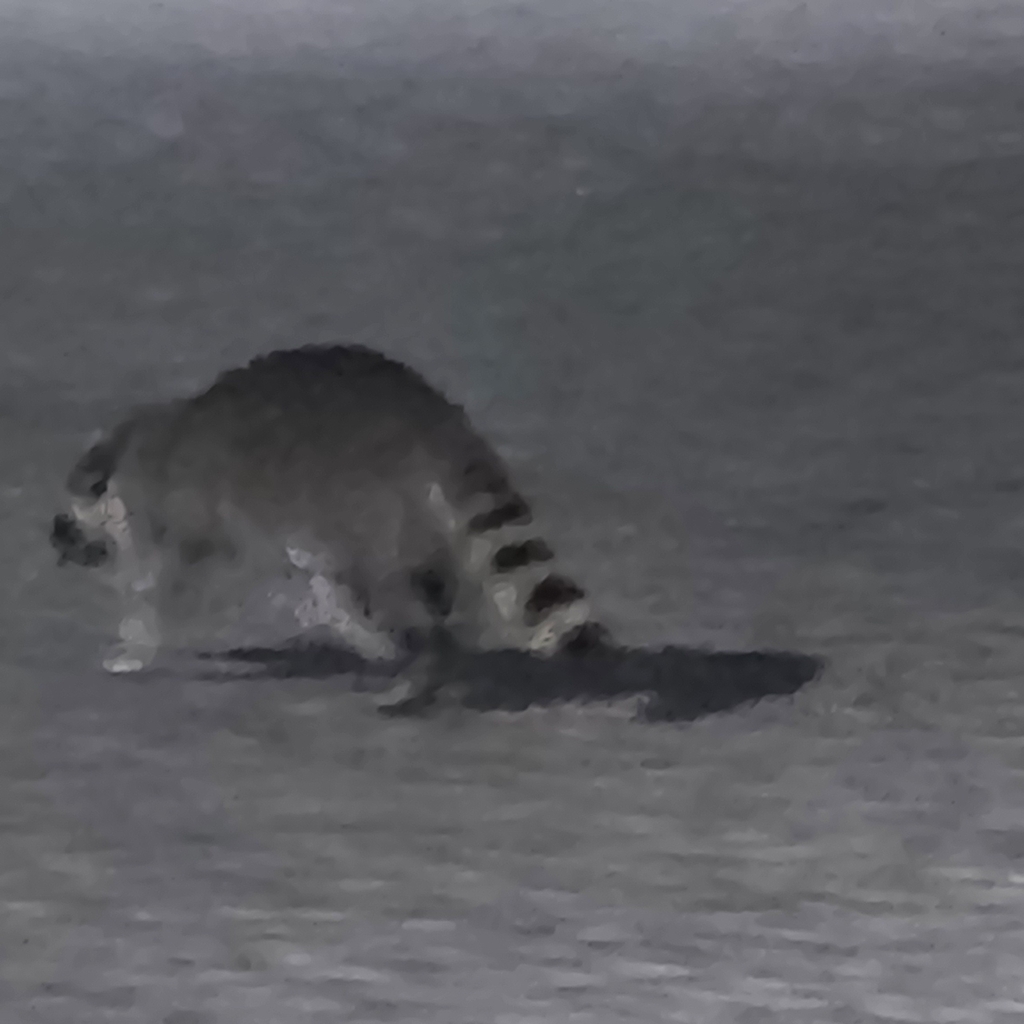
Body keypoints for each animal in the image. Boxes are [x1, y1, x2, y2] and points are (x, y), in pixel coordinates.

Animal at [51, 344, 610, 712]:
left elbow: (187, 584)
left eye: (68, 518)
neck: (132, 455)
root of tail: (433, 416)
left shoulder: (196, 514)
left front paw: (138, 641)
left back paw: (423, 661)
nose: (54, 542)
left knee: (384, 585)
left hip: (360, 494)